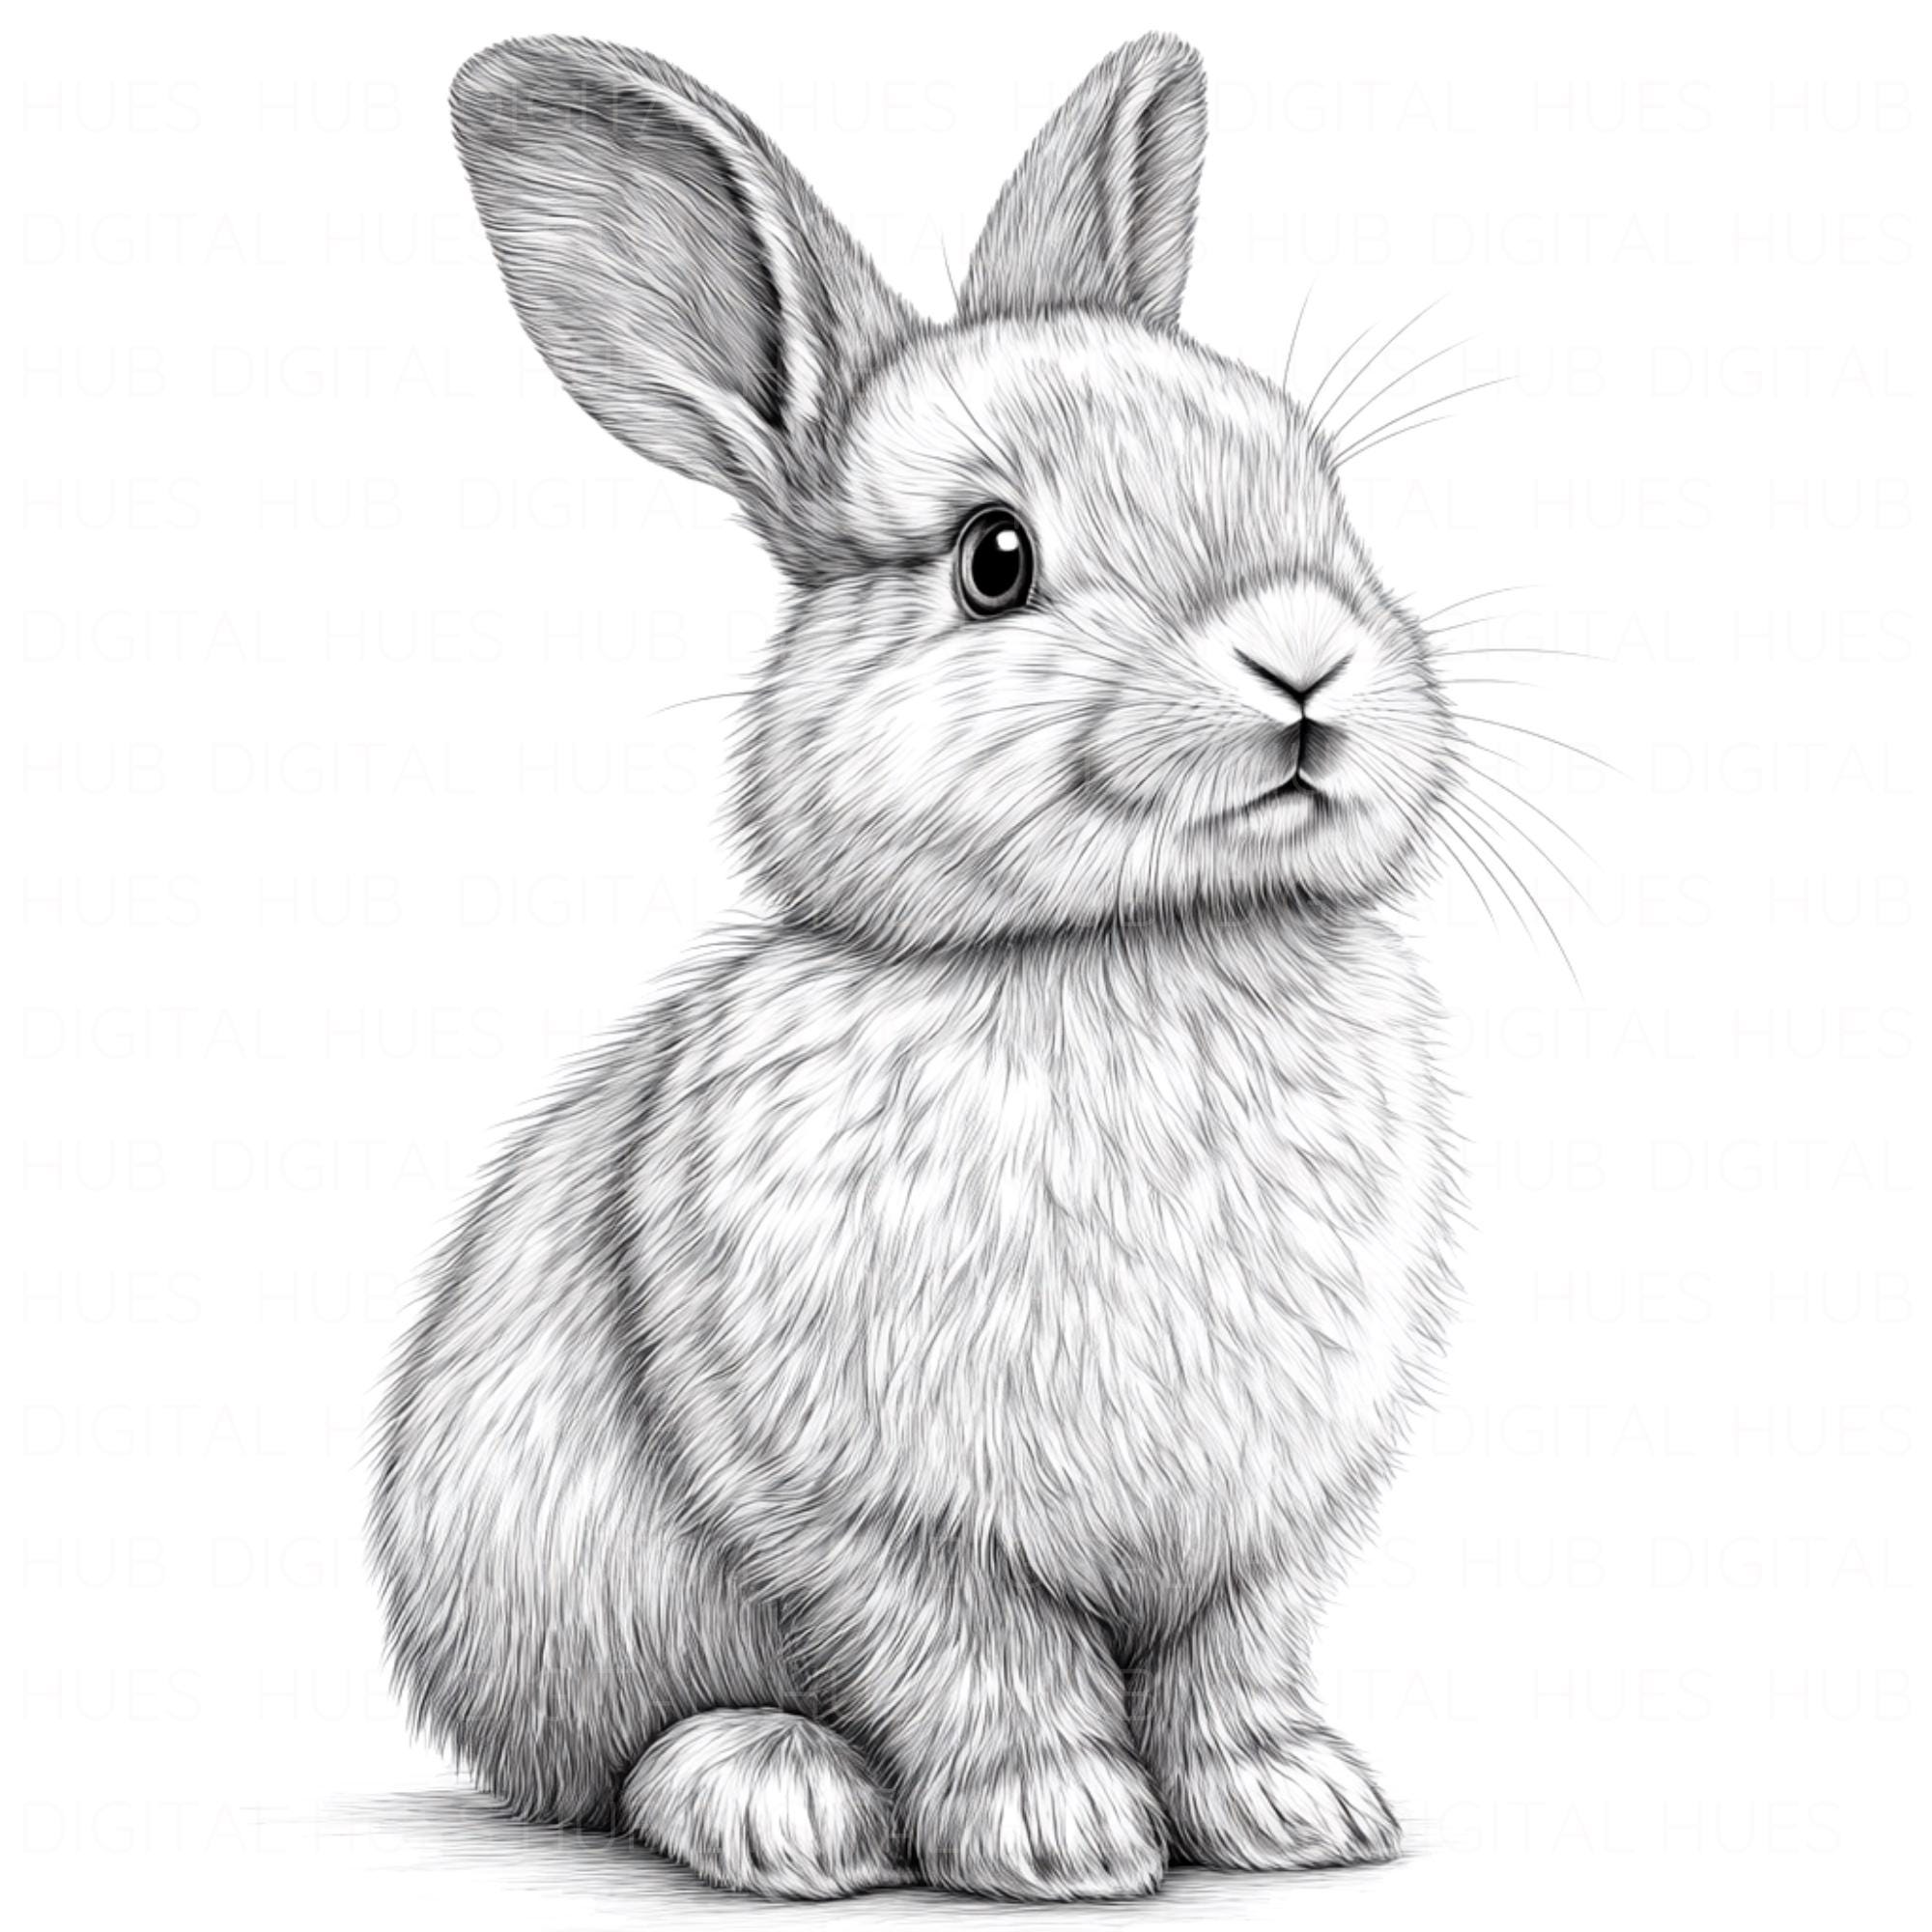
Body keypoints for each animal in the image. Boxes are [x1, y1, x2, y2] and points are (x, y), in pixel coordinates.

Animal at [372, 31, 1461, 1904]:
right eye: (993, 559)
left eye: (1315, 484)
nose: (1306, 658)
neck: (1124, 947)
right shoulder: (874, 1513)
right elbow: (982, 1655)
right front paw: (1060, 1838)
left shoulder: (1277, 1510)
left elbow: (1234, 1655)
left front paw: (1296, 1810)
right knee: (620, 1761)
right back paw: (776, 1798)